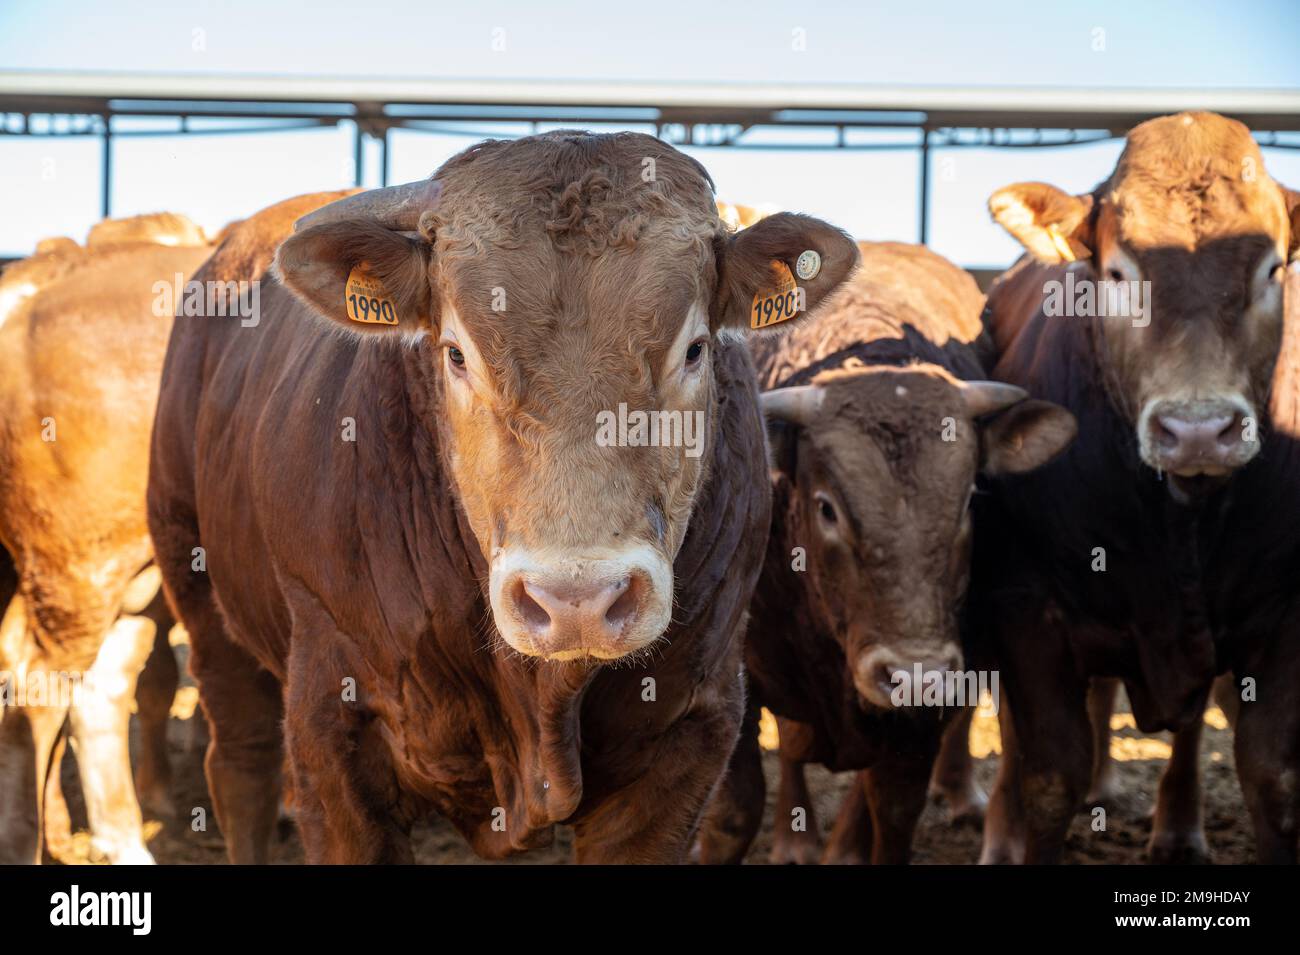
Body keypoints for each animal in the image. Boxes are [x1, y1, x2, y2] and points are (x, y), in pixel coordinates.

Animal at [146, 130, 861, 863]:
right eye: (457, 354)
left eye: (694, 349)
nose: (578, 603)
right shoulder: (331, 728)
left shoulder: (689, 739)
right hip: (198, 586)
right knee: (242, 761)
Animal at [695, 242, 1075, 864]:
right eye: (827, 508)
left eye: (969, 499)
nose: (915, 678)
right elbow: (733, 809)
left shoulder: (916, 727)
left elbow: (894, 811)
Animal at [973, 111, 1300, 864]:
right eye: (1118, 273)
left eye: (1273, 267)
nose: (1199, 430)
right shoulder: (1027, 605)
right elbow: (1047, 775)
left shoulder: (1287, 615)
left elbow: (1271, 776)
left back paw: (1176, 826)